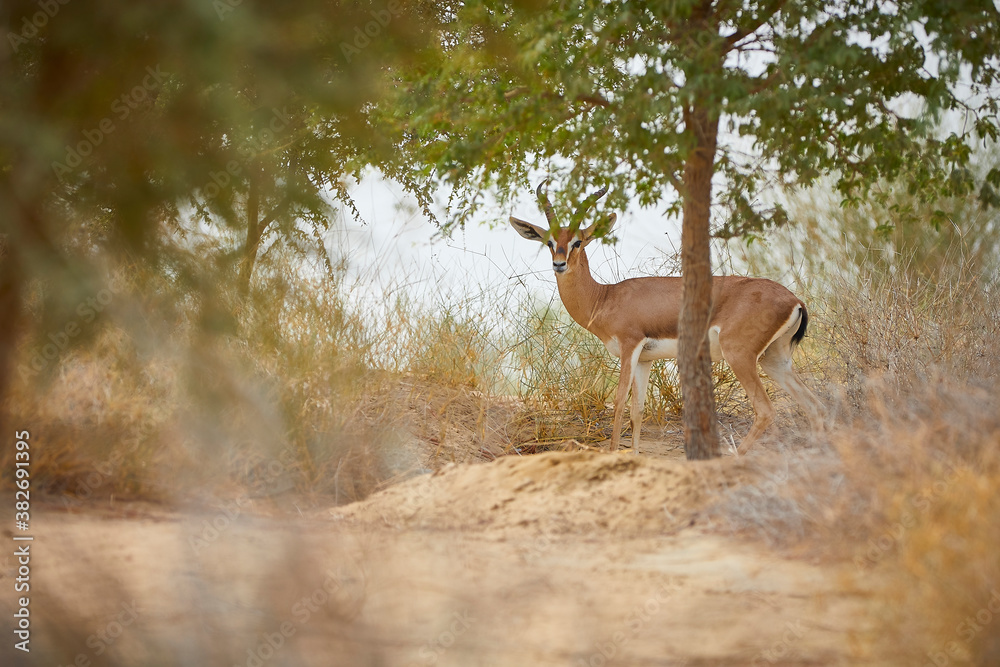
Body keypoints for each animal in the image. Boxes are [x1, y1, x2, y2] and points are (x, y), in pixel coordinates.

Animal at [510, 182, 824, 455]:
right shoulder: (645, 360)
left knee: (766, 410)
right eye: (549, 242)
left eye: (578, 241)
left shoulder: (630, 347)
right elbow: (638, 409)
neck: (605, 297)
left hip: (740, 355)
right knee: (813, 405)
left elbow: (619, 401)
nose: (559, 264)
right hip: (774, 360)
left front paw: (612, 453)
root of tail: (794, 300)